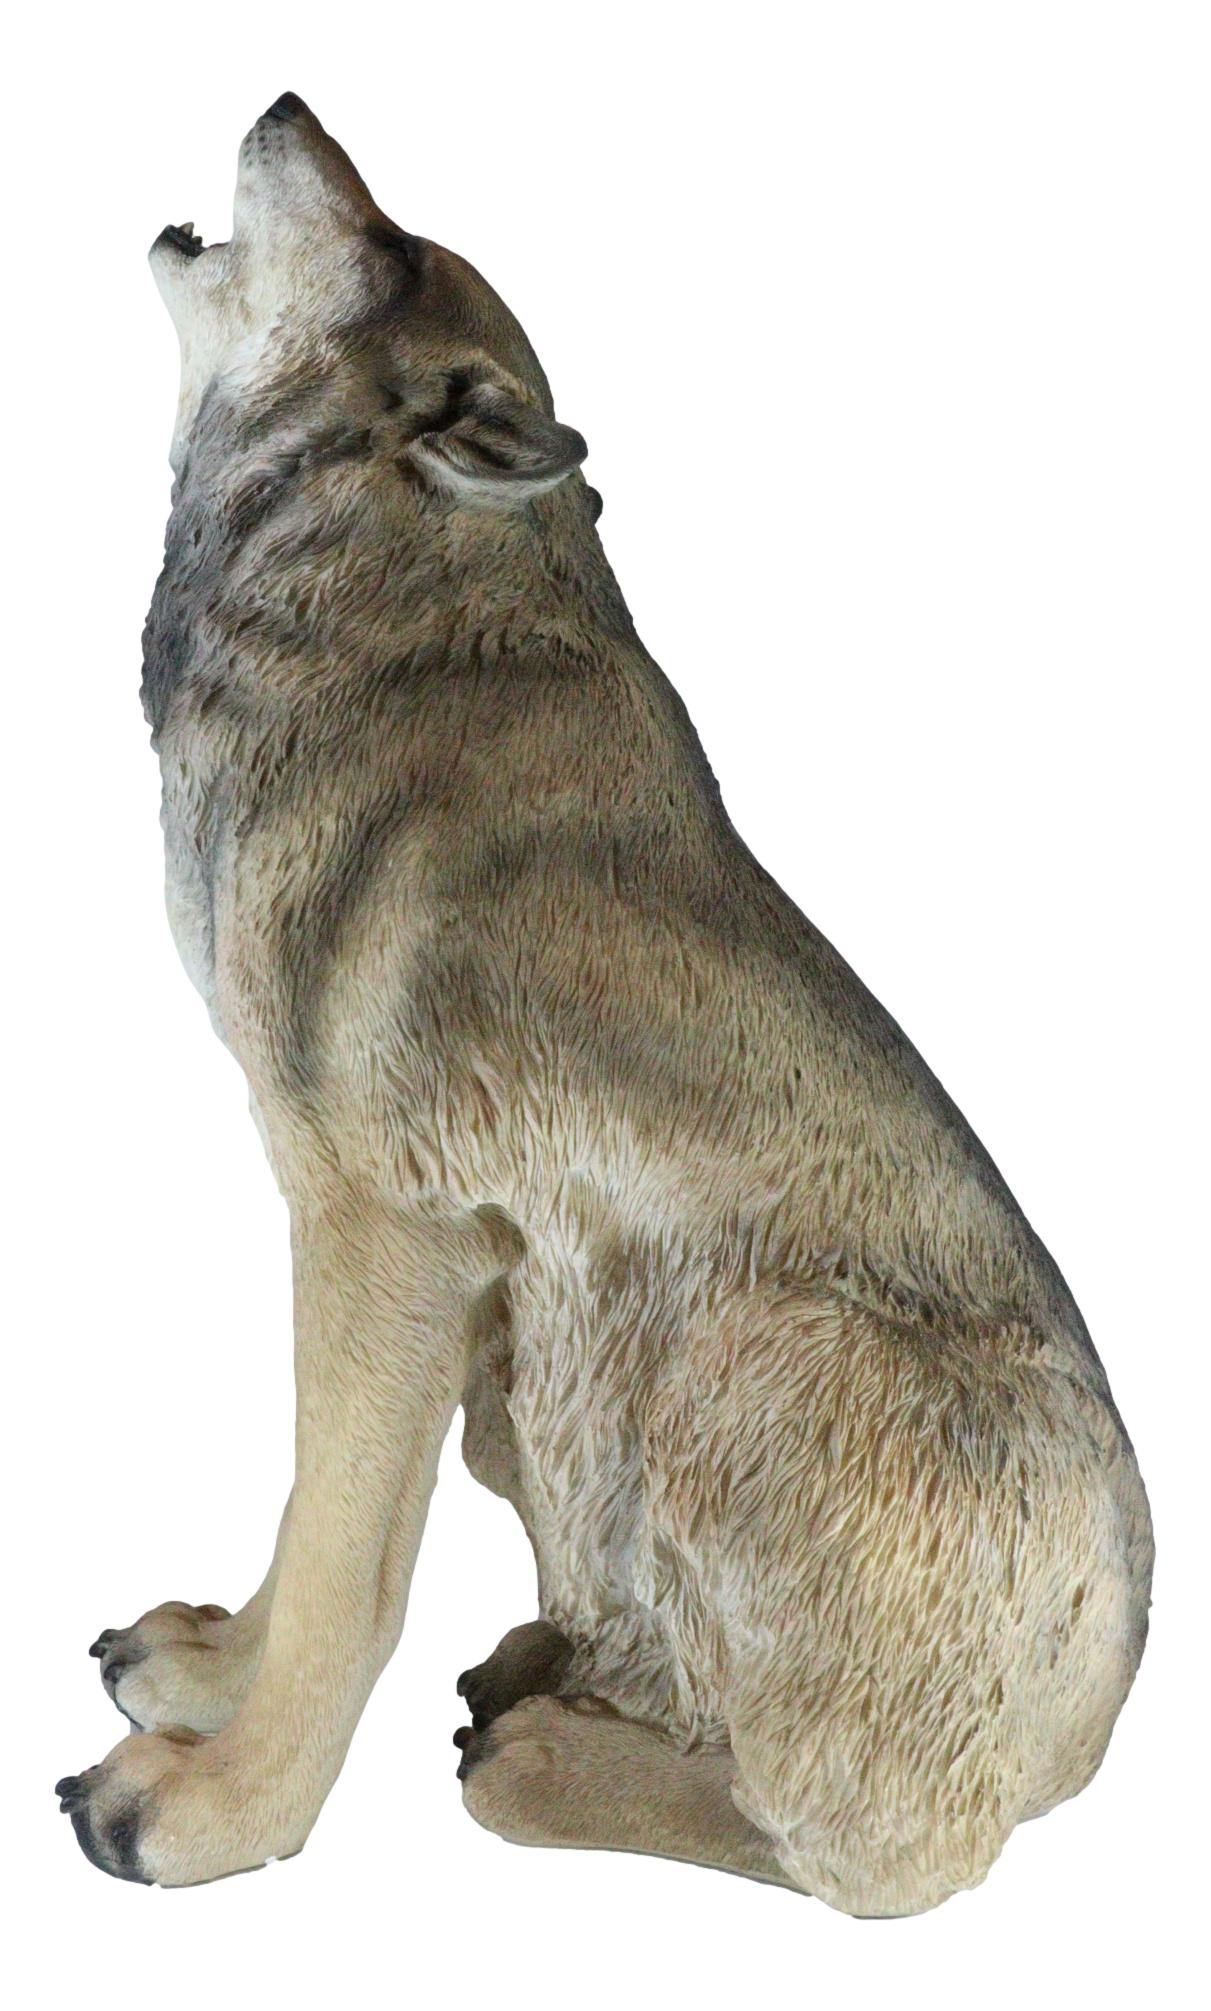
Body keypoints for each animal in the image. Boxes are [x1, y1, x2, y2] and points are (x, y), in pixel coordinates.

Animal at [57, 94, 1151, 1912]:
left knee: (871, 1856)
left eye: (390, 245)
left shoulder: (384, 1227)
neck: (366, 586)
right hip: (541, 1376)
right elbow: (319, 1521)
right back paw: (544, 1673)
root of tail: (1096, 1736)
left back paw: (536, 1752)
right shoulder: (419, 1263)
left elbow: (342, 1553)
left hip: (719, 1351)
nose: (284, 104)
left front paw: (219, 1811)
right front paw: (213, 1674)